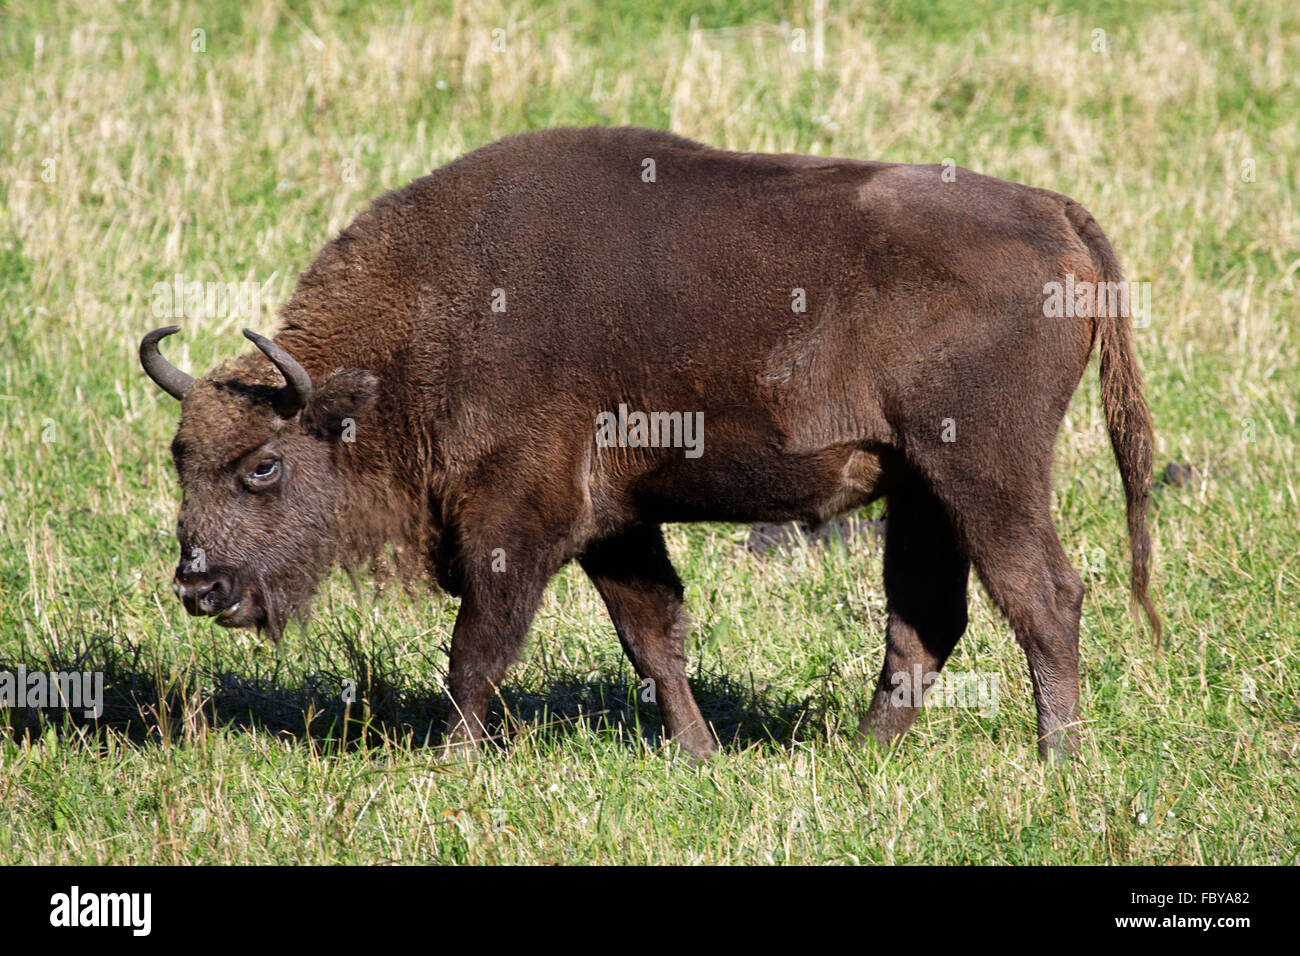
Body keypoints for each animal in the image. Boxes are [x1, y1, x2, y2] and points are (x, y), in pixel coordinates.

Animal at [140, 126, 1158, 759]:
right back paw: (855, 758)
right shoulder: (614, 526)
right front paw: (700, 755)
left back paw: (1057, 761)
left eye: (263, 466)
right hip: (920, 490)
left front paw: (448, 762)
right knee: (925, 622)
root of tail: (1054, 213)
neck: (433, 320)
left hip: (984, 473)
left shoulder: (520, 523)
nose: (198, 584)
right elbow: (653, 637)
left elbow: (478, 651)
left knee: (1042, 596)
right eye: (180, 461)